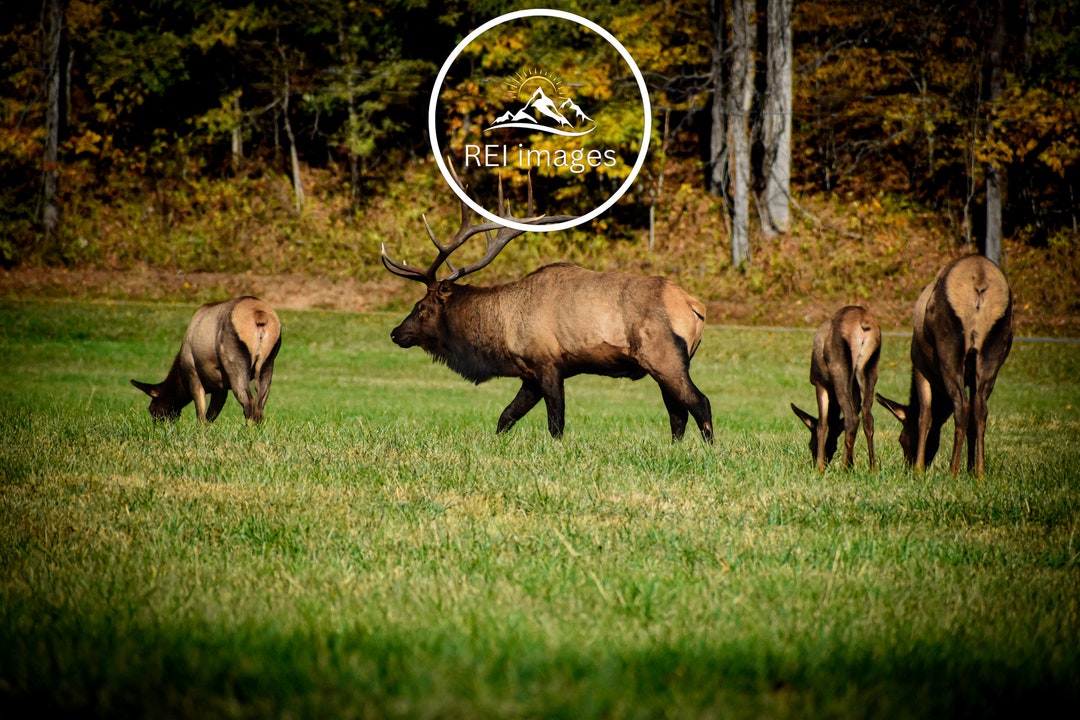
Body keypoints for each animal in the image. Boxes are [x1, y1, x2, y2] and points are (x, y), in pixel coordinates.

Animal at [131, 296, 281, 424]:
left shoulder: (194, 375)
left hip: (235, 363)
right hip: (268, 362)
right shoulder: (221, 387)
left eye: (152, 410)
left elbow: (201, 415)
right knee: (260, 405)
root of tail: (258, 315)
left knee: (248, 402)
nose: (157, 425)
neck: (181, 378)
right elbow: (211, 416)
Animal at [381, 169, 713, 442]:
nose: (396, 332)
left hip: (664, 357)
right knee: (677, 413)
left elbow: (556, 424)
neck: (500, 332)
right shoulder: (529, 373)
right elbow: (506, 417)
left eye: (422, 306)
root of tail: (694, 306)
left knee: (699, 403)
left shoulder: (548, 363)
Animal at [791, 305, 881, 472]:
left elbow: (822, 424)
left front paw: (819, 469)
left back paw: (845, 468)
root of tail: (863, 323)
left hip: (839, 369)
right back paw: (872, 468)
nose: (817, 461)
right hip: (870, 370)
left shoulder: (820, 383)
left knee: (852, 417)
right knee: (867, 417)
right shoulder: (854, 389)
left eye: (810, 444)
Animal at [875, 254, 1013, 476]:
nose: (907, 466)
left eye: (902, 439)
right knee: (980, 409)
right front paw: (970, 468)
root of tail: (980, 280)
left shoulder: (920, 365)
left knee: (962, 406)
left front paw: (919, 468)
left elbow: (925, 416)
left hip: (949, 350)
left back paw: (953, 471)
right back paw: (980, 473)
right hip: (992, 352)